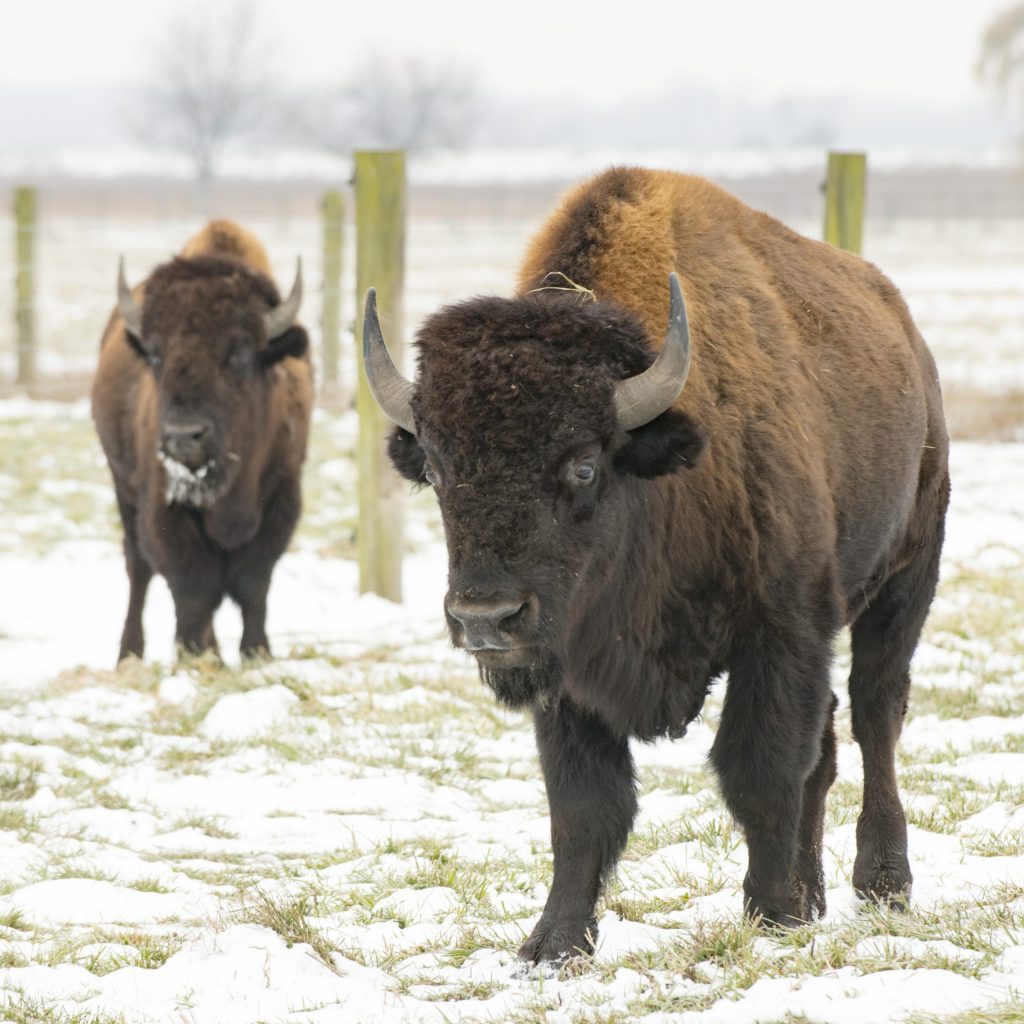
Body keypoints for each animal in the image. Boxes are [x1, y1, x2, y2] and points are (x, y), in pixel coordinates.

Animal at [92, 220, 313, 663]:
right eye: (156, 355)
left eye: (240, 354)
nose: (184, 436)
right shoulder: (164, 507)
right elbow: (193, 585)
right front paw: (194, 654)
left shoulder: (282, 500)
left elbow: (253, 582)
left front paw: (256, 652)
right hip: (122, 487)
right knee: (138, 568)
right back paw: (130, 654)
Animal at [363, 167, 950, 965]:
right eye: (439, 466)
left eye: (583, 465)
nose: (485, 619)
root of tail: (908, 338)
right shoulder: (568, 669)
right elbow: (584, 806)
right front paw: (552, 943)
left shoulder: (781, 632)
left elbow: (760, 770)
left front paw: (771, 914)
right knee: (830, 741)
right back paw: (816, 895)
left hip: (905, 578)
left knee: (874, 712)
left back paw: (882, 883)